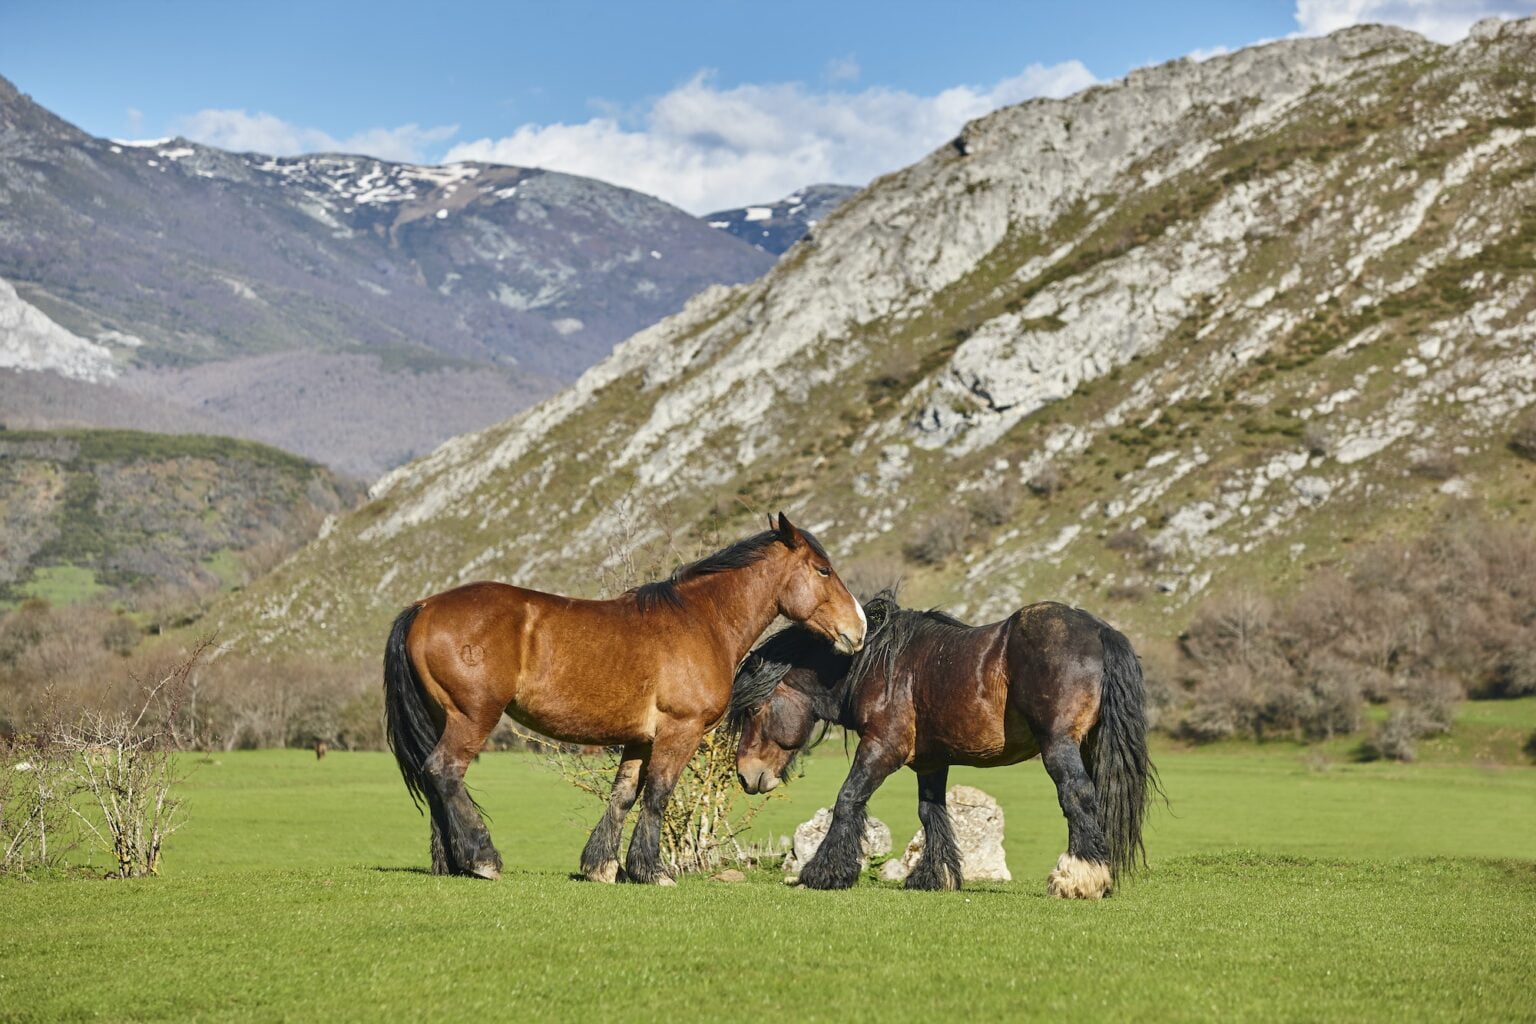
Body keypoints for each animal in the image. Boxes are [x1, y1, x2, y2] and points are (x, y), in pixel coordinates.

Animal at [383, 513, 867, 884]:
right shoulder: (679, 731)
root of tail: (424, 607)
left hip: (444, 717)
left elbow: (623, 796)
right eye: (823, 570)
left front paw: (602, 866)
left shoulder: (639, 739)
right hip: (473, 716)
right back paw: (481, 858)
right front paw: (651, 871)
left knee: (434, 777)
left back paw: (451, 861)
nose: (858, 628)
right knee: (445, 771)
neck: (701, 621)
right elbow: (658, 794)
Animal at [730, 591, 1157, 898]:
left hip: (1059, 746)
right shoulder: (931, 763)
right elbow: (931, 813)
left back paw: (1078, 878)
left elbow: (848, 798)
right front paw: (935, 877)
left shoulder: (882, 748)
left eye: (754, 708)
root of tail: (1099, 631)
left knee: (1076, 795)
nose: (746, 775)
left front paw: (824, 872)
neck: (875, 667)